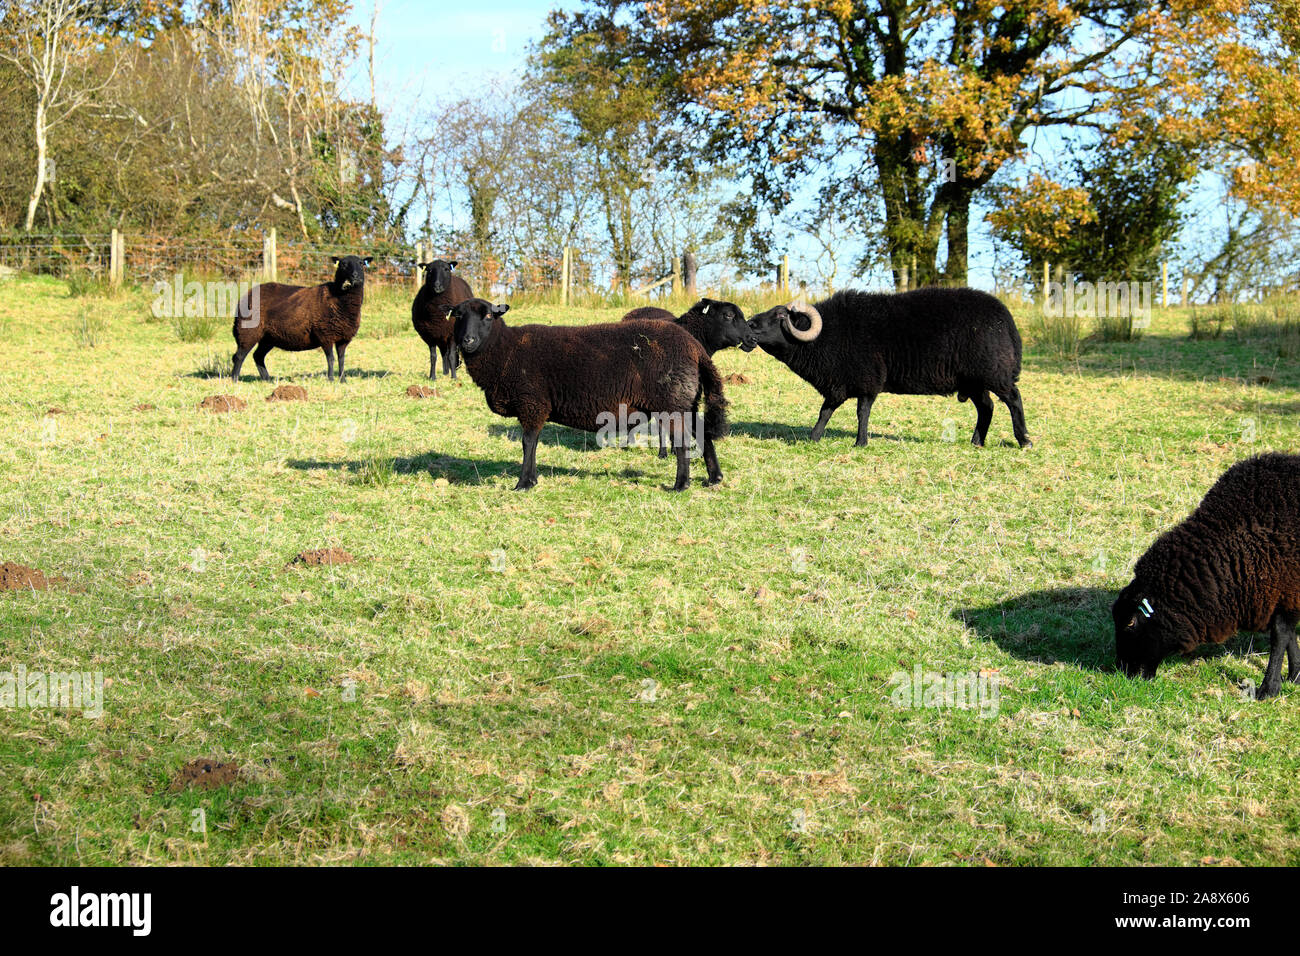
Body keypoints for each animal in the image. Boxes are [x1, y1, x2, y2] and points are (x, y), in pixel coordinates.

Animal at [232, 255, 371, 383]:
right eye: (343, 265)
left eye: (361, 263)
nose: (355, 276)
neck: (338, 298)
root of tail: (245, 295)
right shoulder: (325, 335)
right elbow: (331, 359)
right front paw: (331, 379)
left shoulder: (343, 338)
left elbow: (341, 359)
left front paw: (342, 380)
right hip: (248, 331)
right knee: (239, 356)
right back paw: (234, 380)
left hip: (268, 337)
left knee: (258, 356)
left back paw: (267, 379)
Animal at [449, 298, 728, 491]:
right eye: (458, 316)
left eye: (488, 315)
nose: (468, 341)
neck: (505, 351)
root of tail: (694, 347)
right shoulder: (534, 406)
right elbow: (533, 443)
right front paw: (532, 479)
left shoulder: (532, 403)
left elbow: (528, 443)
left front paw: (524, 483)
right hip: (686, 399)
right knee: (703, 433)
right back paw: (714, 478)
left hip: (671, 402)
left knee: (682, 441)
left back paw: (681, 485)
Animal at [745, 288, 1032, 448]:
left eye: (780, 316)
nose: (749, 324)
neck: (828, 334)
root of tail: (1006, 318)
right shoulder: (838, 384)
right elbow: (825, 412)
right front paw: (813, 438)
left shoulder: (867, 381)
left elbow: (862, 412)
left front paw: (860, 443)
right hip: (973, 381)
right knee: (987, 406)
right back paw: (977, 442)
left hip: (994, 372)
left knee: (1013, 399)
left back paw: (1024, 440)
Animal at [1113, 453, 1300, 699]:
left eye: (1131, 622)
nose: (1124, 672)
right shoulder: (1283, 592)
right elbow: (1289, 636)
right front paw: (1295, 676)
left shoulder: (1288, 586)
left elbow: (1280, 635)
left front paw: (1269, 688)